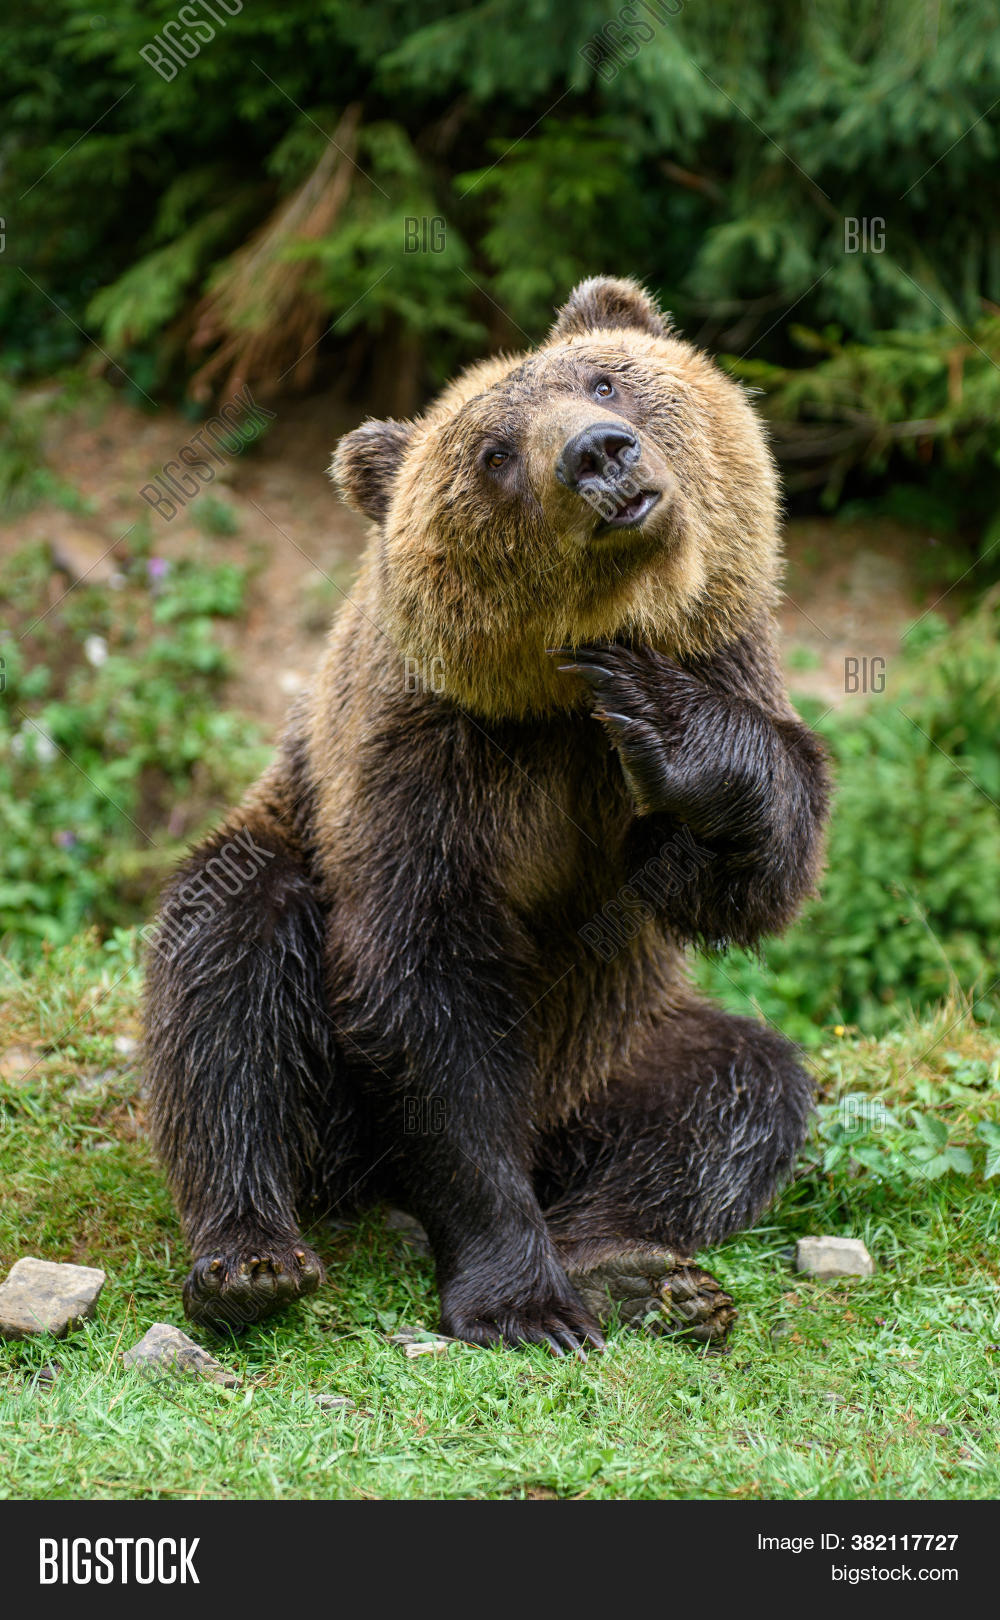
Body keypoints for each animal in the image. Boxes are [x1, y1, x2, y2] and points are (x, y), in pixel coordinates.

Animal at [144, 276, 829, 1354]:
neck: (553, 701)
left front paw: (664, 720)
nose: (598, 452)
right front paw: (524, 1302)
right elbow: (423, 990)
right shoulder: (431, 766)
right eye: (494, 451)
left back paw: (637, 1269)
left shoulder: (720, 667)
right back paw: (250, 1258)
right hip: (300, 911)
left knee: (735, 1092)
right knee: (230, 972)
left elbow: (746, 873)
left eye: (605, 378)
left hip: (611, 1049)